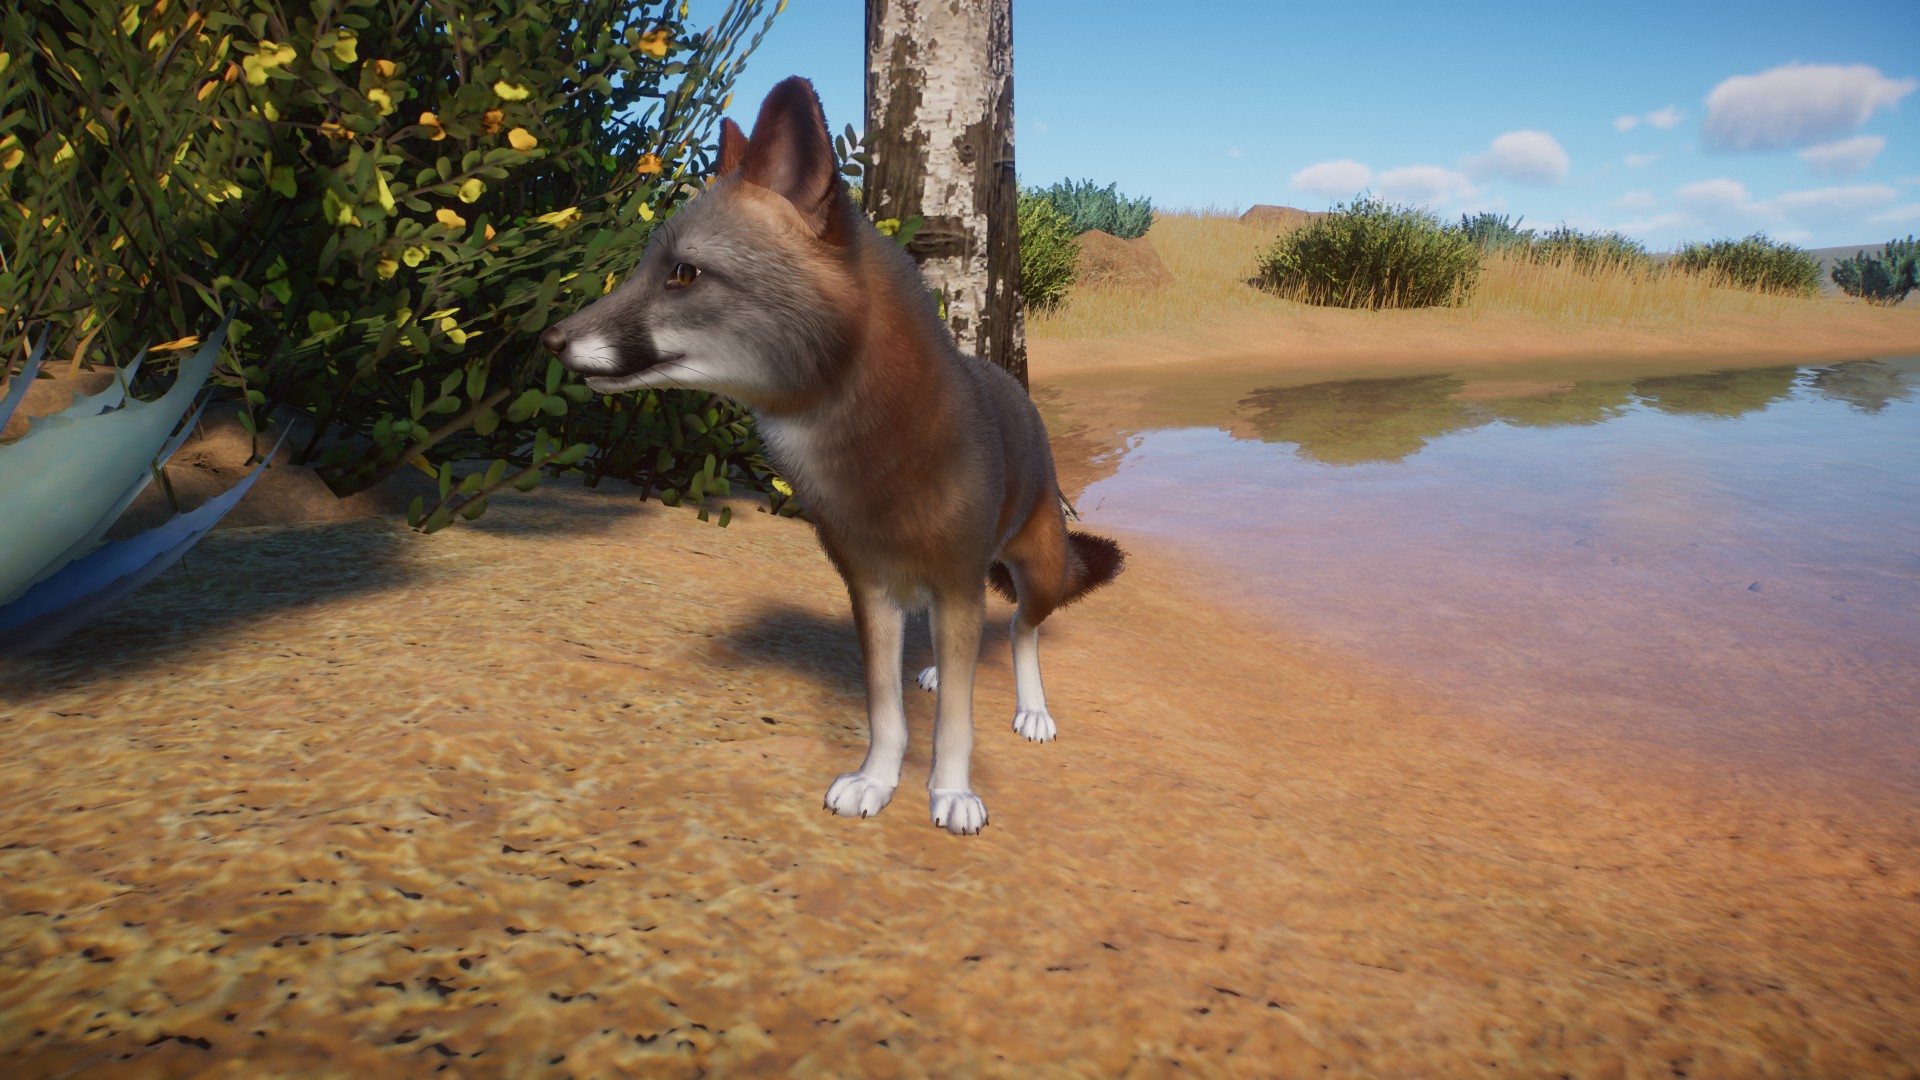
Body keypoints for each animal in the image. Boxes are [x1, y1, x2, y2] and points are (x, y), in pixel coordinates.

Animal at [539, 76, 1125, 835]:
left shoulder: (956, 585)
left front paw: (952, 792)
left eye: (684, 274)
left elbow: (957, 722)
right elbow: (887, 711)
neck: (882, 460)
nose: (549, 340)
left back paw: (1031, 709)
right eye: (646, 268)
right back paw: (939, 672)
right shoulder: (870, 591)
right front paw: (877, 780)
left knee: (1023, 631)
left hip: (1039, 572)